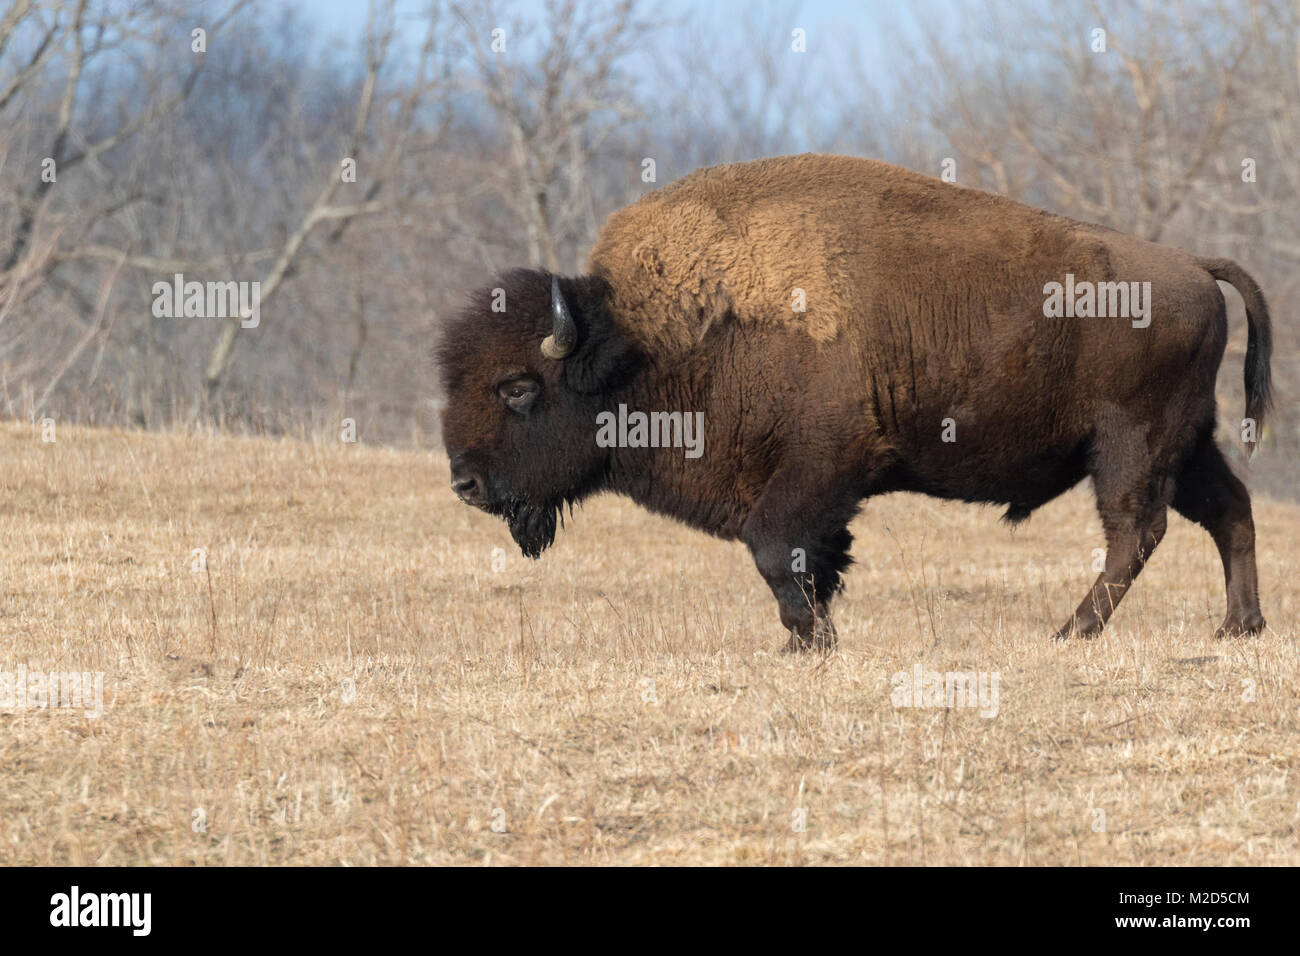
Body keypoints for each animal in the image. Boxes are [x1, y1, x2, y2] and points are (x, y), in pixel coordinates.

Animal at [437, 154, 1272, 651]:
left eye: (517, 387)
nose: (465, 483)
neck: (648, 337)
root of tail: (1193, 264)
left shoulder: (822, 466)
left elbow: (775, 548)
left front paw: (810, 640)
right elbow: (814, 560)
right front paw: (802, 639)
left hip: (1128, 444)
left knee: (1136, 531)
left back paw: (1072, 631)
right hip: (1186, 442)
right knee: (1228, 510)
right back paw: (1238, 627)